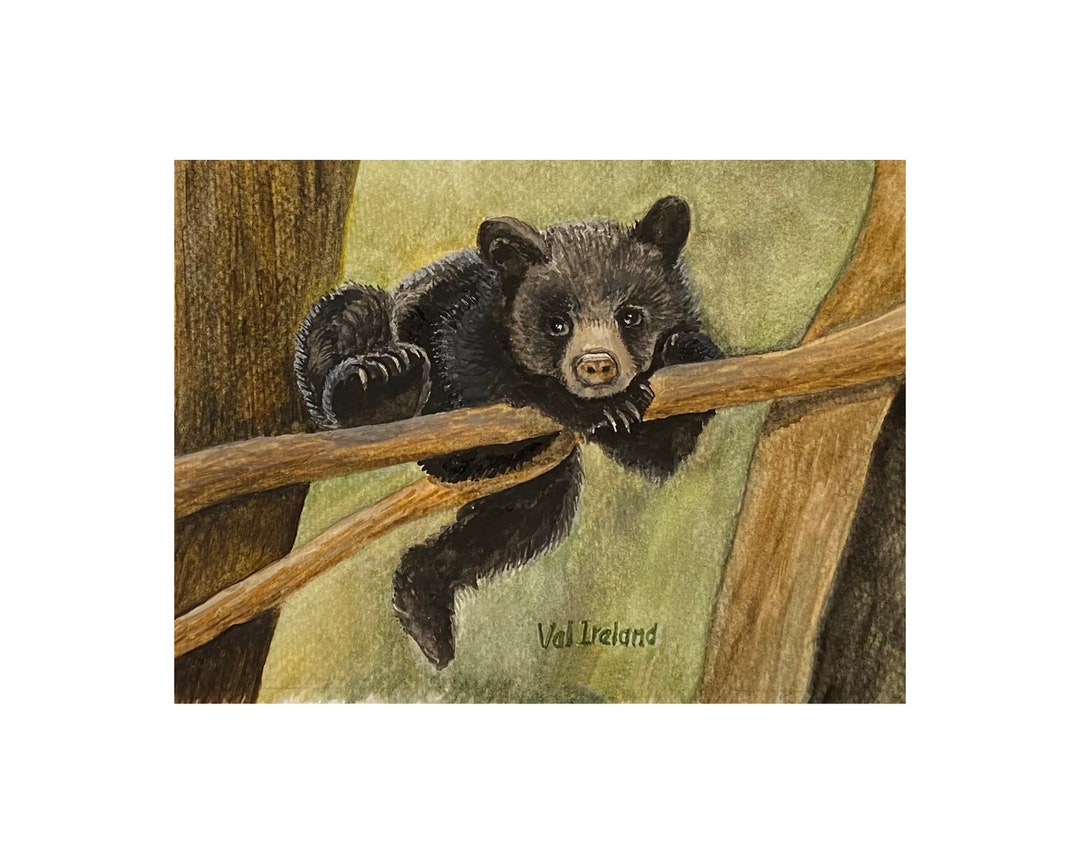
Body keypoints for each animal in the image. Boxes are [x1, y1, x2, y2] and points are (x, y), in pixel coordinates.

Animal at [294, 196, 724, 669]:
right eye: (557, 323)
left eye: (630, 316)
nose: (597, 365)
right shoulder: (460, 320)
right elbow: (479, 377)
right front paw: (589, 402)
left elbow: (657, 451)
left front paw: (689, 353)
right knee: (350, 314)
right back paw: (383, 385)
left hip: (534, 479)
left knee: (521, 520)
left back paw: (426, 612)